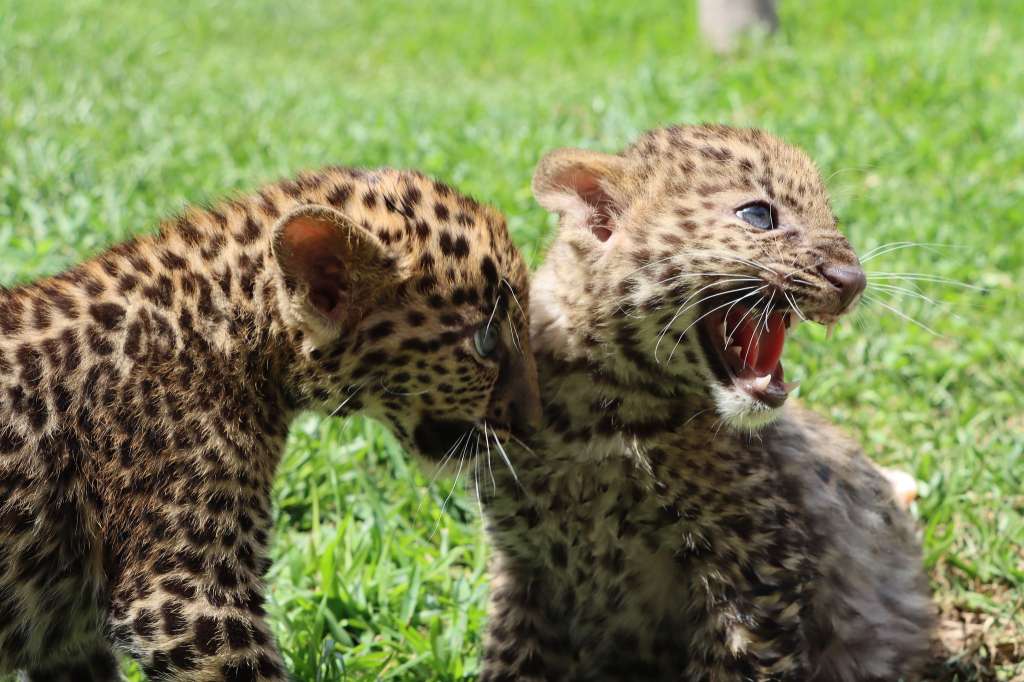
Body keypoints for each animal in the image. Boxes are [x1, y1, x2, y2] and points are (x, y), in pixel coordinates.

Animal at [478, 124, 934, 682]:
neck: (604, 417)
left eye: (834, 219)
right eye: (758, 216)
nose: (853, 280)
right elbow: (509, 655)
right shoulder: (524, 561)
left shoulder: (754, 563)